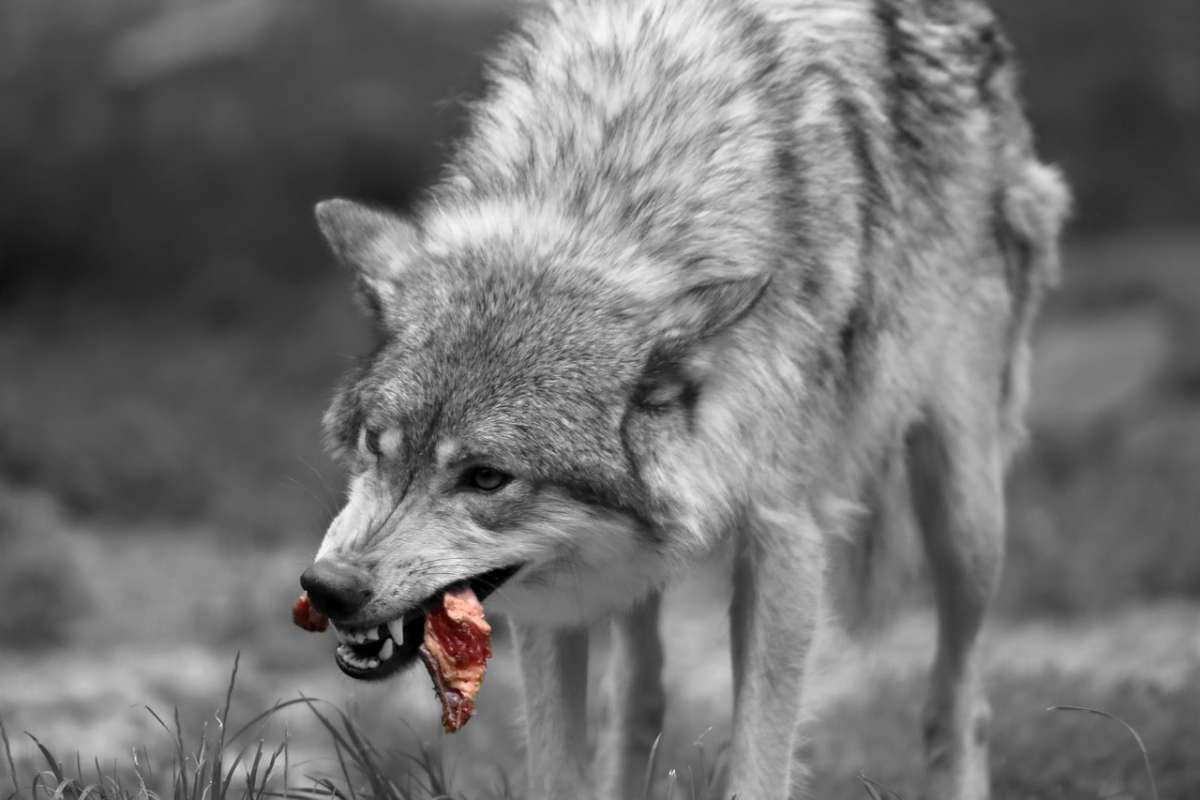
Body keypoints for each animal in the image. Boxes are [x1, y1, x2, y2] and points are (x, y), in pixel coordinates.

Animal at [297, 0, 1068, 797]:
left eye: (485, 478)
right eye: (375, 444)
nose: (328, 587)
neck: (607, 186)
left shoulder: (785, 542)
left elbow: (762, 757)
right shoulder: (549, 599)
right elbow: (560, 764)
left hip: (965, 522)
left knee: (960, 702)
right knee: (639, 699)